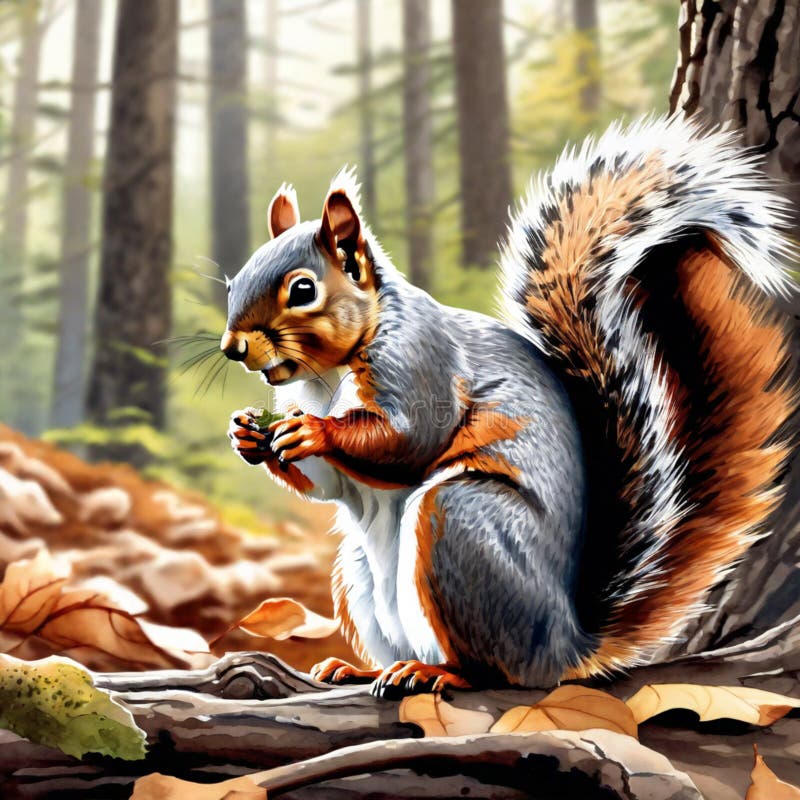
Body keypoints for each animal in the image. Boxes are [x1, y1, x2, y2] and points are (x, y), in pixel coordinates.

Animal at [221, 116, 796, 694]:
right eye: (234, 280)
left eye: (302, 289)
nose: (233, 347)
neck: (328, 376)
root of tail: (565, 645)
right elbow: (330, 485)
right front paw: (249, 435)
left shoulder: (420, 362)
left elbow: (409, 441)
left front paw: (315, 431)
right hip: (358, 574)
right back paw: (360, 667)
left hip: (460, 527)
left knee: (489, 669)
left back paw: (432, 671)